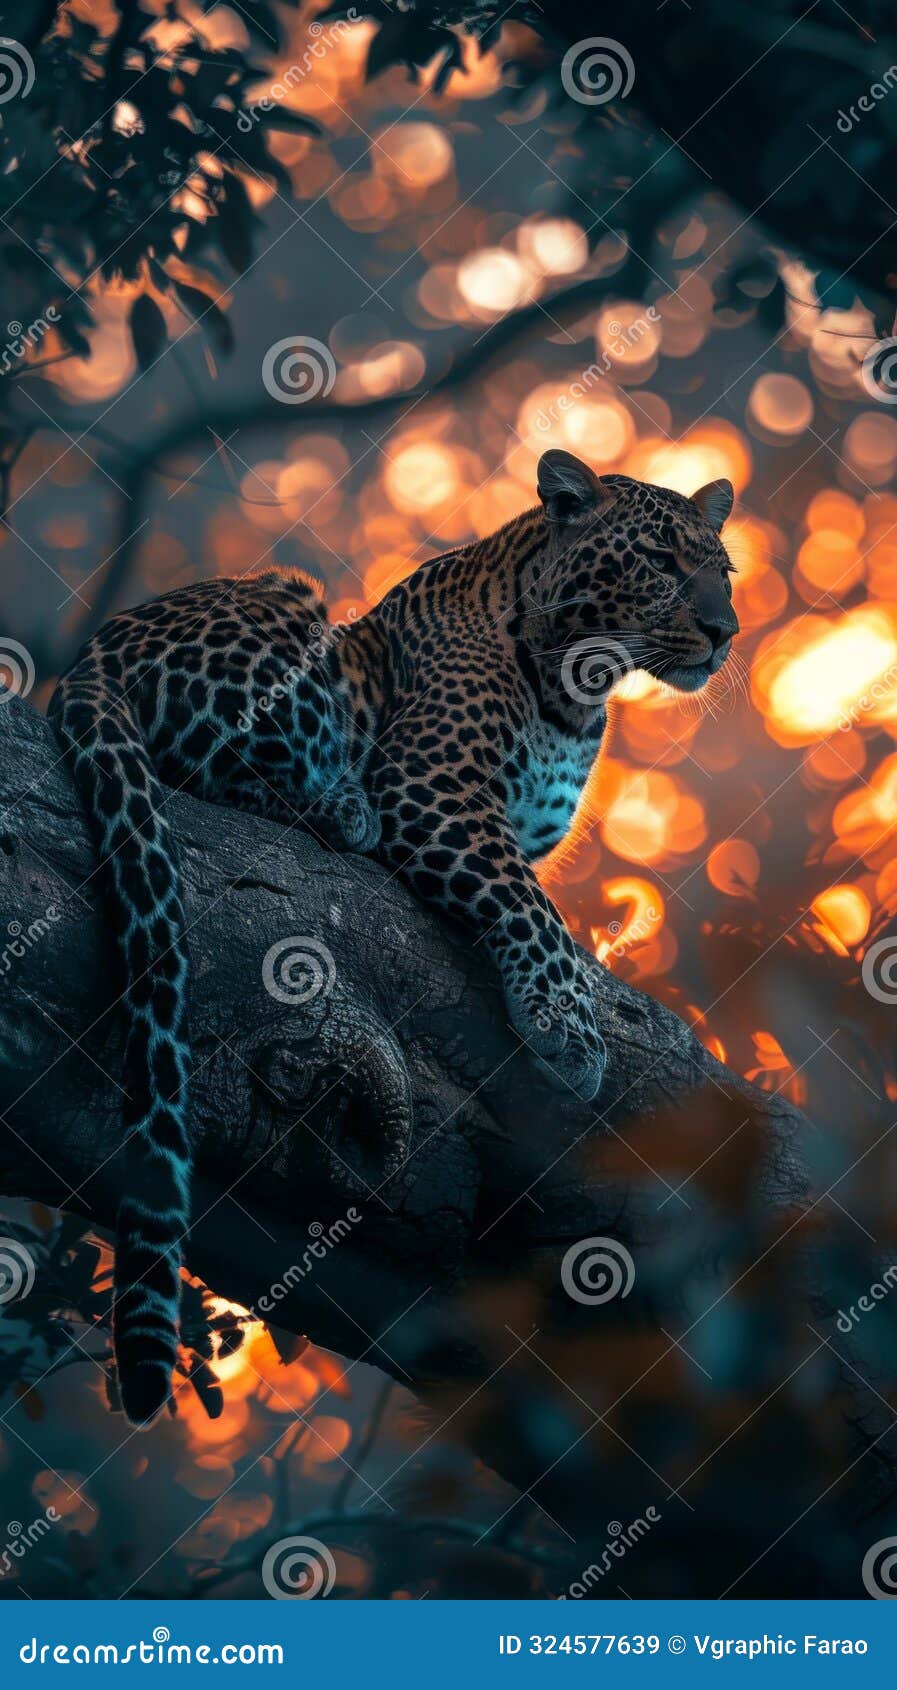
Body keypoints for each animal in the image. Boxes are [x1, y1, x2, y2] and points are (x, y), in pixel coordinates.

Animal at [48, 447, 738, 1426]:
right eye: (658, 561)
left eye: (722, 569)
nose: (724, 632)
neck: (581, 687)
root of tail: (88, 658)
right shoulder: (433, 790)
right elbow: (529, 907)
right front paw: (568, 1030)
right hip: (285, 614)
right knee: (208, 766)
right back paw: (343, 808)